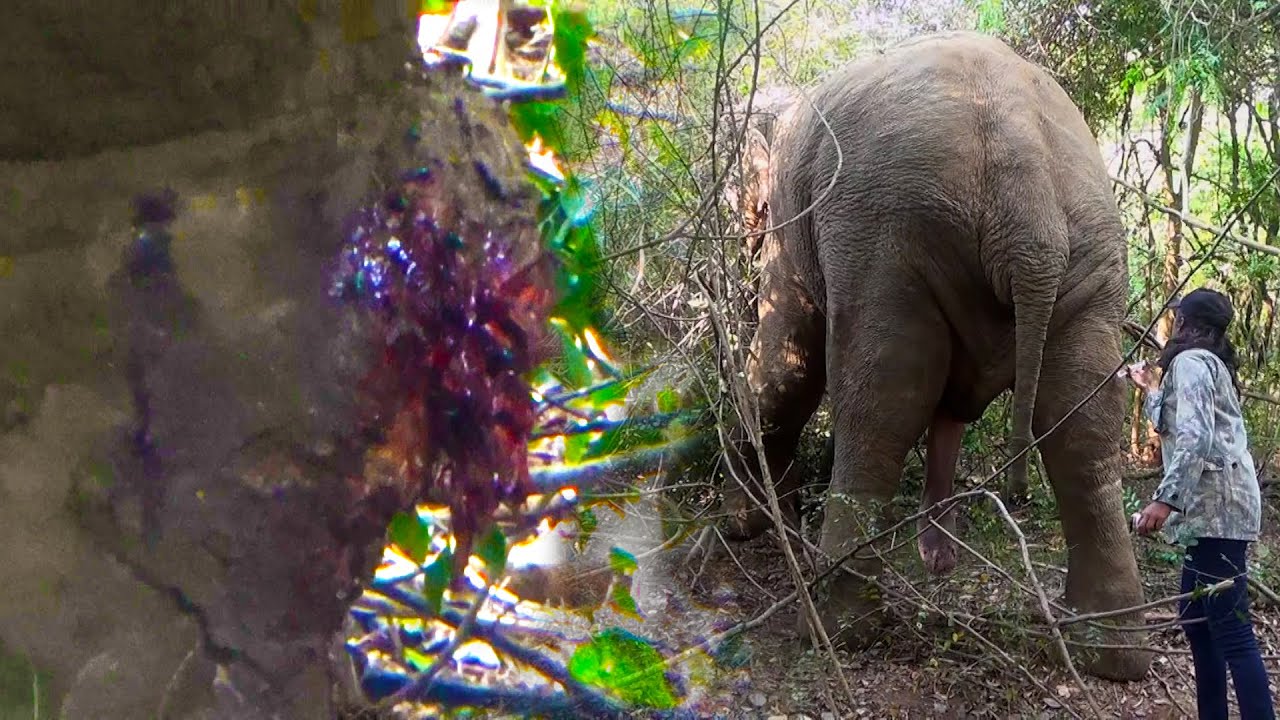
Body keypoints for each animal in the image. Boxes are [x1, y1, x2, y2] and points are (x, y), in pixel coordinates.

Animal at [719, 31, 1152, 681]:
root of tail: (1027, 188)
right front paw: (938, 557)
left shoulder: (795, 225)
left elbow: (787, 363)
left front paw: (747, 526)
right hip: (1093, 252)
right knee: (1084, 422)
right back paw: (1113, 653)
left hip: (889, 235)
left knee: (878, 404)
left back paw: (834, 628)